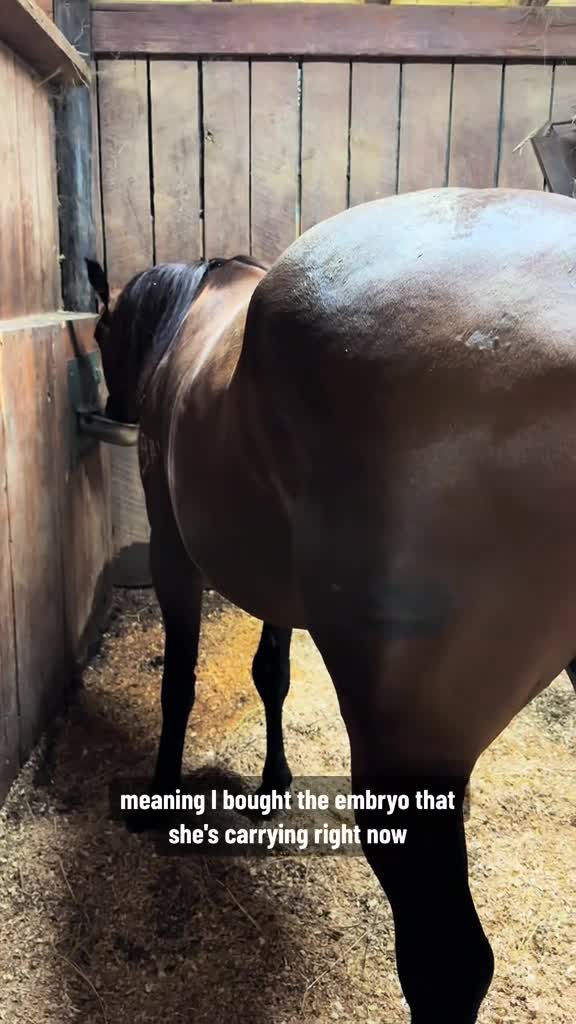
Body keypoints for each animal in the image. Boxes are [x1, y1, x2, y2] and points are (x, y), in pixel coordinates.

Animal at [87, 186, 576, 1024]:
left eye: (97, 332)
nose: (113, 409)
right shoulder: (277, 589)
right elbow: (270, 673)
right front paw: (273, 781)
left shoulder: (172, 549)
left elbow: (179, 680)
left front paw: (161, 791)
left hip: (408, 756)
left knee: (450, 967)